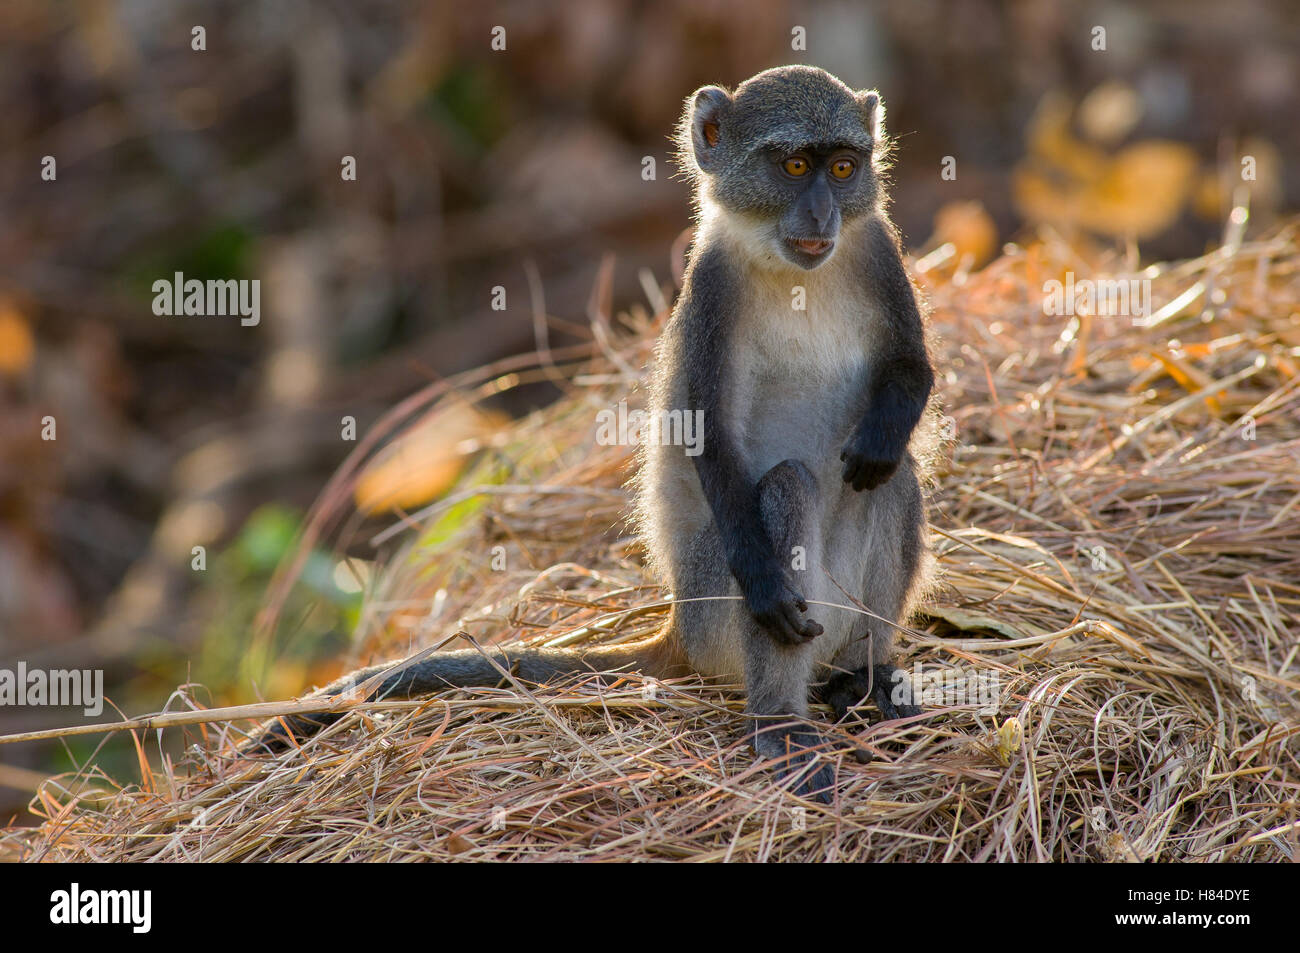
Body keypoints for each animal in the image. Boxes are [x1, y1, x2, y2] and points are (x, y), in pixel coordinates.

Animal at [247, 66, 934, 805]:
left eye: (844, 168)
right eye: (795, 166)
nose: (821, 216)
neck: (790, 270)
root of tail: (678, 631)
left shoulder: (876, 250)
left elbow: (910, 370)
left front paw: (882, 434)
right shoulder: (711, 290)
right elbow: (710, 436)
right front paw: (766, 583)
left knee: (892, 480)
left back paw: (861, 679)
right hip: (716, 607)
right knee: (786, 489)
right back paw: (780, 723)